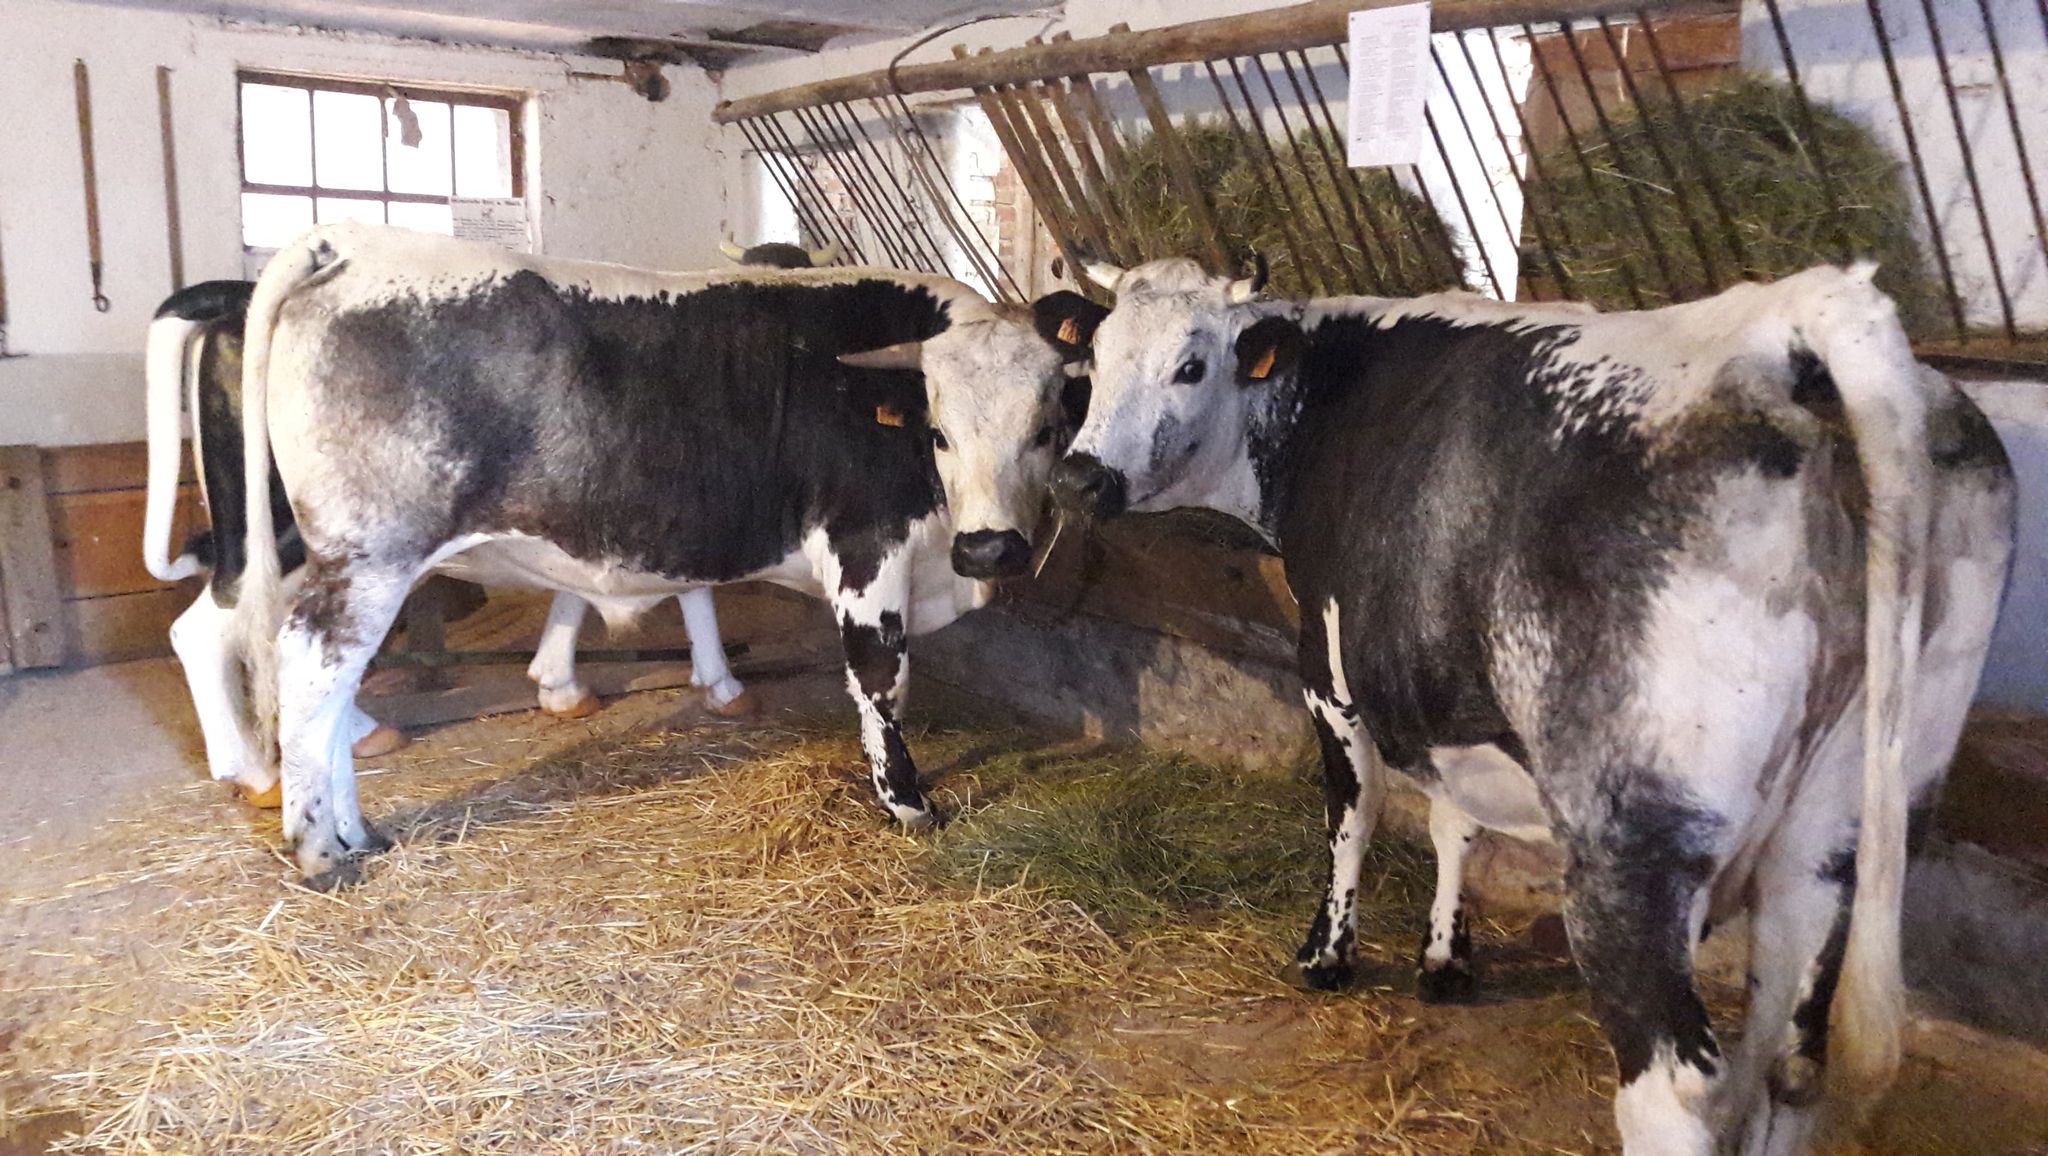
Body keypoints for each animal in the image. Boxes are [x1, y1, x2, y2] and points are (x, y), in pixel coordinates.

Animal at [222, 221, 1105, 885]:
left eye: (1047, 428)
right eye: (939, 432)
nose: (990, 549)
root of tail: (350, 242)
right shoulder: (867, 545)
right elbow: (880, 675)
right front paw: (908, 803)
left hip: (325, 555)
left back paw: (353, 830)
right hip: (368, 556)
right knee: (309, 668)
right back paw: (320, 847)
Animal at [1049, 257, 2015, 1154]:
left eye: (1190, 366)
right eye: (1096, 355)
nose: (1079, 478)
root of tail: (1787, 327)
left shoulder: (1332, 678)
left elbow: (1352, 816)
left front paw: (1328, 955)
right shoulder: (1447, 697)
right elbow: (1456, 824)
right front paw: (1446, 959)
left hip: (1633, 839)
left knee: (1676, 1088)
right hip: (1839, 833)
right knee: (1790, 1066)